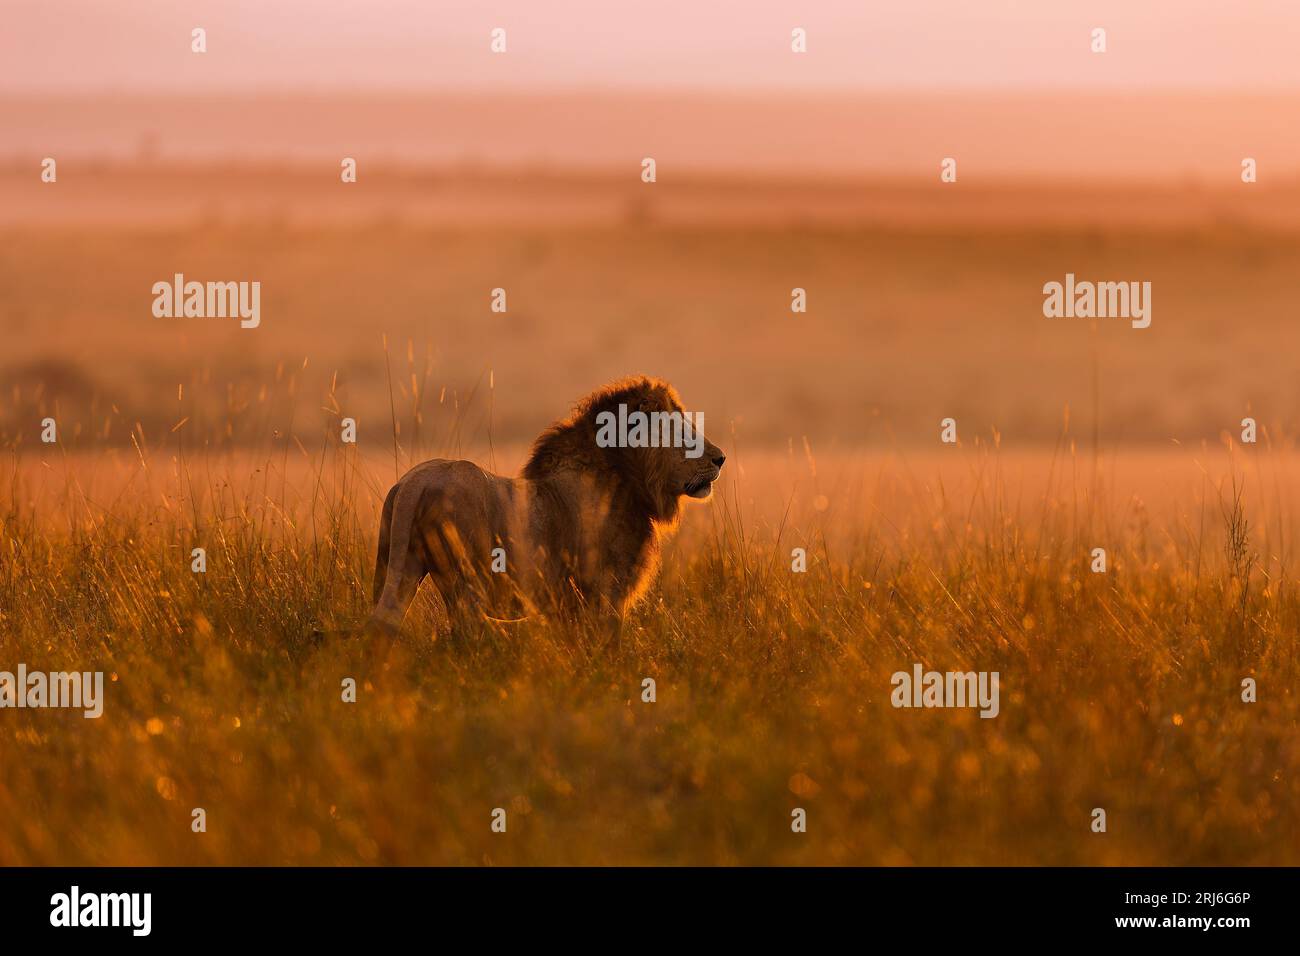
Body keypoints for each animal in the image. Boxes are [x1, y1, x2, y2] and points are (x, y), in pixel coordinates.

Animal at [361, 376, 724, 636]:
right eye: (680, 433)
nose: (720, 458)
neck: (628, 479)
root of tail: (412, 484)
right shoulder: (604, 594)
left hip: (406, 564)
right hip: (467, 581)